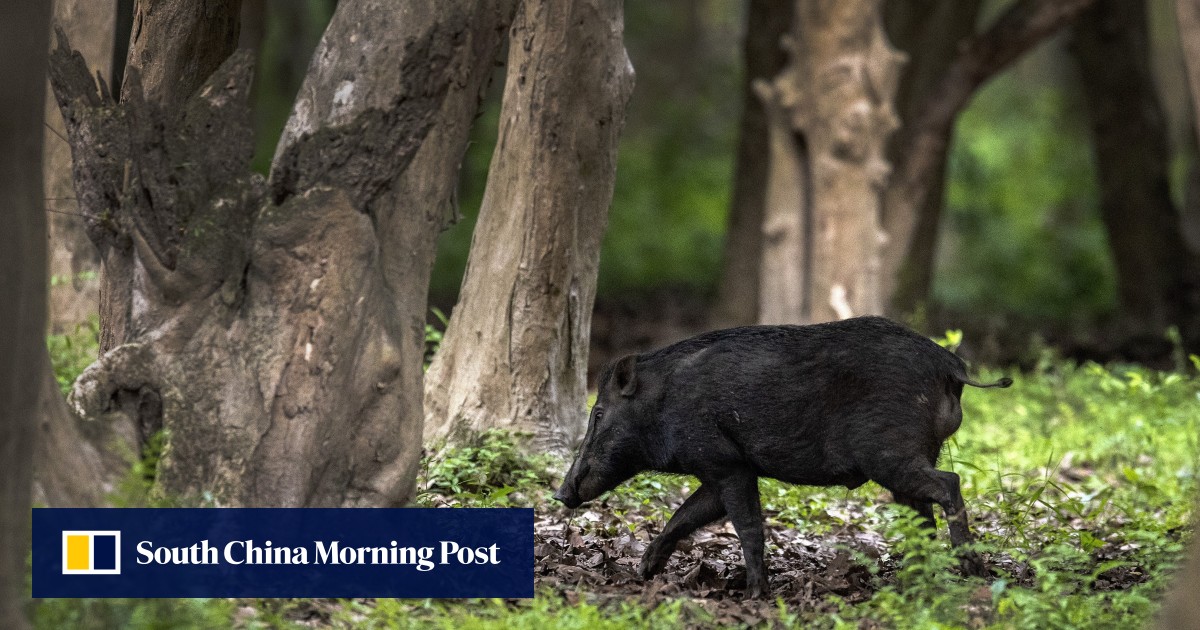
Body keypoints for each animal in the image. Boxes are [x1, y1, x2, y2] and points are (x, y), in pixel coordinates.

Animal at [553, 316, 1011, 598]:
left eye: (598, 413)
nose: (560, 494)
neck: (661, 403)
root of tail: (952, 366)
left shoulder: (726, 463)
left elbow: (746, 526)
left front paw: (755, 593)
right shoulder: (721, 469)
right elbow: (683, 516)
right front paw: (643, 571)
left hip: (889, 454)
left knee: (949, 484)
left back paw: (971, 570)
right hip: (909, 456)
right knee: (921, 514)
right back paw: (919, 577)